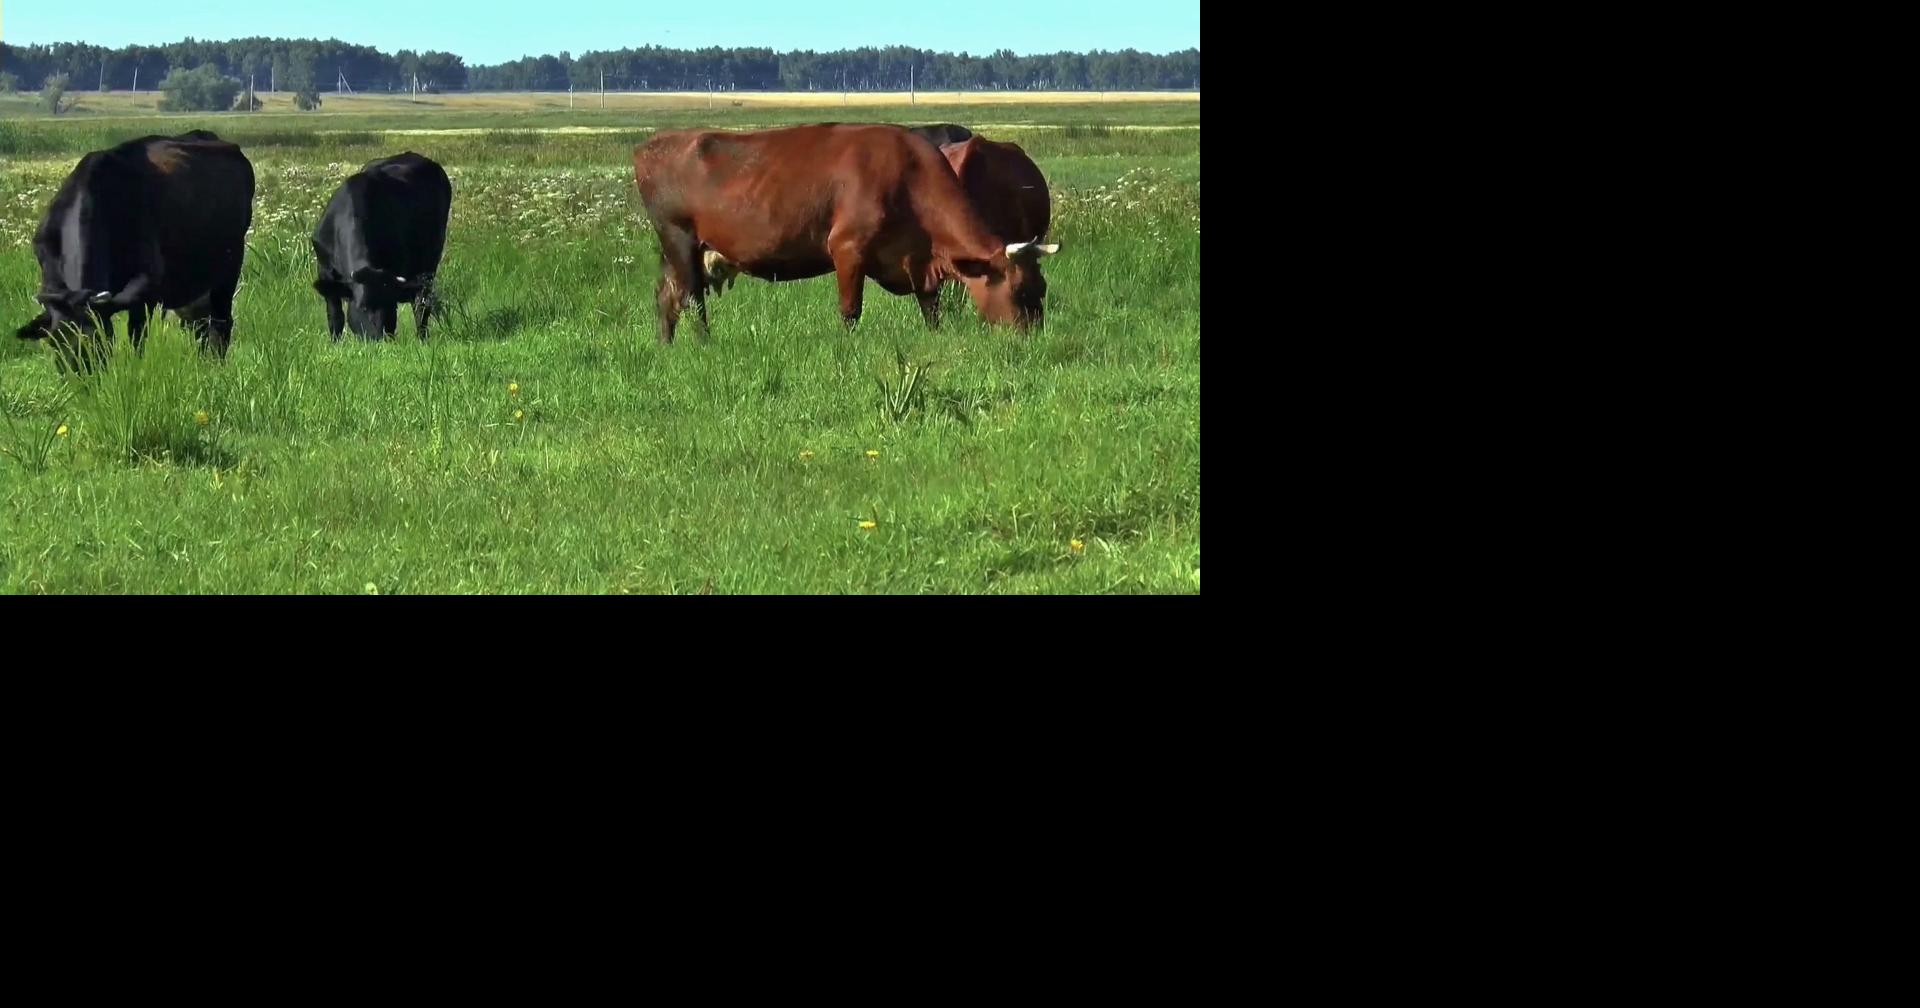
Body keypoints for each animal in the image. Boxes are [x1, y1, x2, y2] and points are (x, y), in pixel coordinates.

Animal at [14, 130, 254, 369]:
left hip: (230, 266)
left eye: (99, 339)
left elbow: (137, 338)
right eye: (55, 342)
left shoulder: (145, 289)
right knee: (198, 324)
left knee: (221, 323)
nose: (82, 377)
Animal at [311, 152, 451, 341]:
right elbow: (335, 316)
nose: (378, 338)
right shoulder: (324, 269)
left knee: (421, 305)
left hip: (430, 263)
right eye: (362, 307)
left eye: (389, 305)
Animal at [632, 123, 1059, 343]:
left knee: (667, 297)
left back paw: (667, 348)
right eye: (1019, 292)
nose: (1033, 342)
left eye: (1041, 289)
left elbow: (931, 307)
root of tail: (654, 143)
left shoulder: (917, 259)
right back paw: (705, 345)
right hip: (679, 238)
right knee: (692, 299)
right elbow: (851, 310)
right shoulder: (848, 249)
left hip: (679, 250)